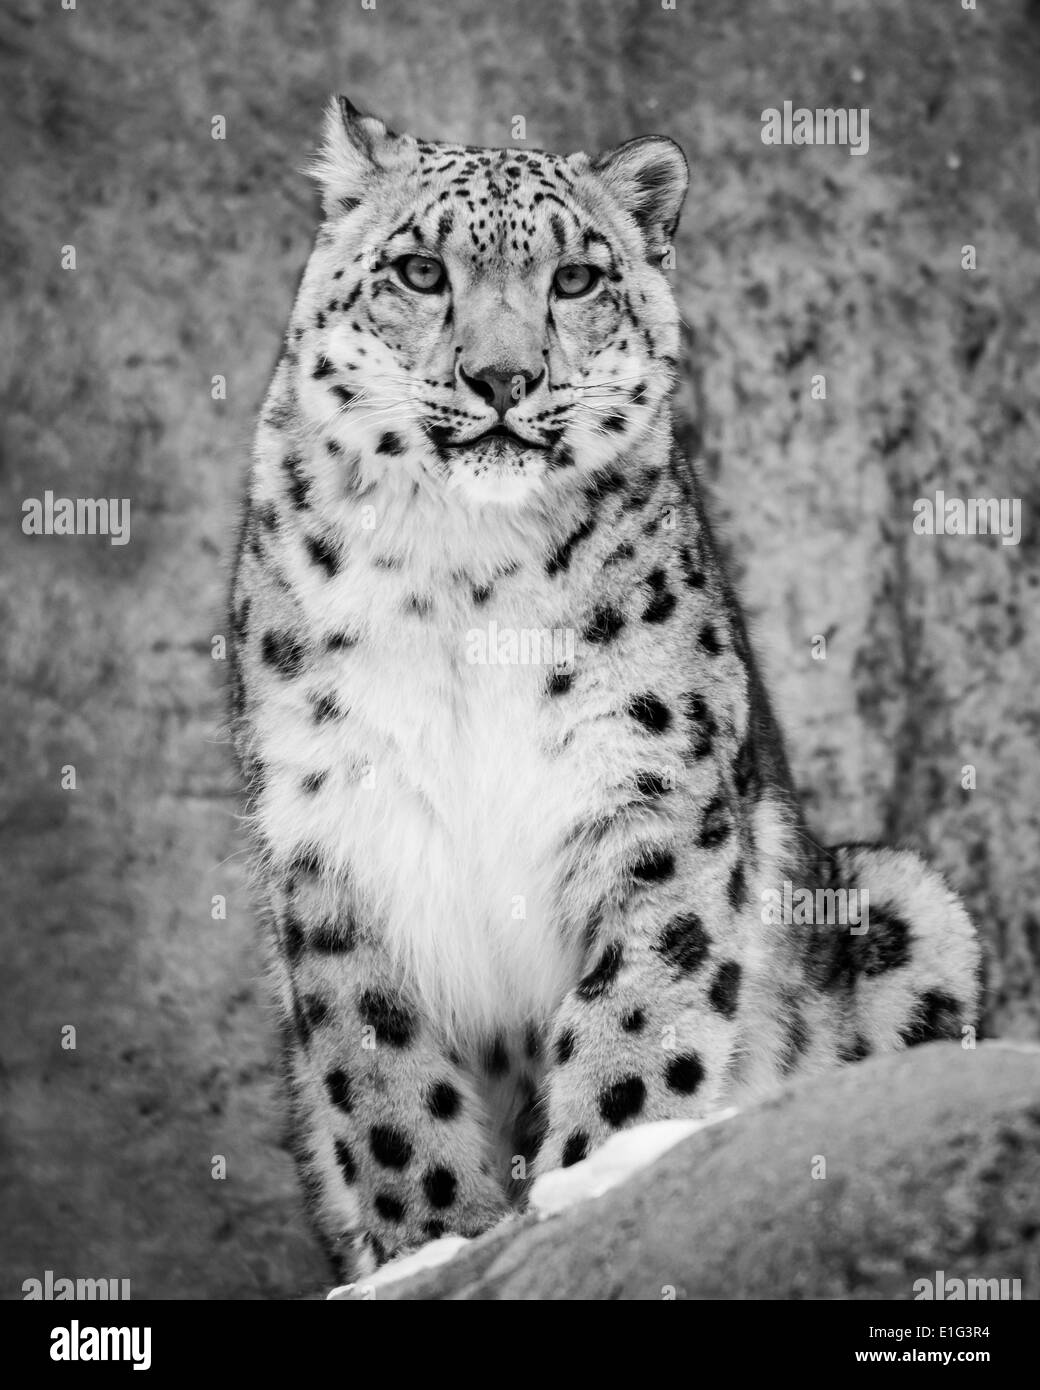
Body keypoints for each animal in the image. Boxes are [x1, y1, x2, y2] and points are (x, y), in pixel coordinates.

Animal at [228, 97, 981, 1282]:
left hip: (906, 902)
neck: (465, 579)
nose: (501, 379)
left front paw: (591, 1183)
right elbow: (385, 1078)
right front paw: (434, 1244)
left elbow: (638, 1016)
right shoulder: (337, 822)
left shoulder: (651, 796)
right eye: (419, 270)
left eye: (575, 279)